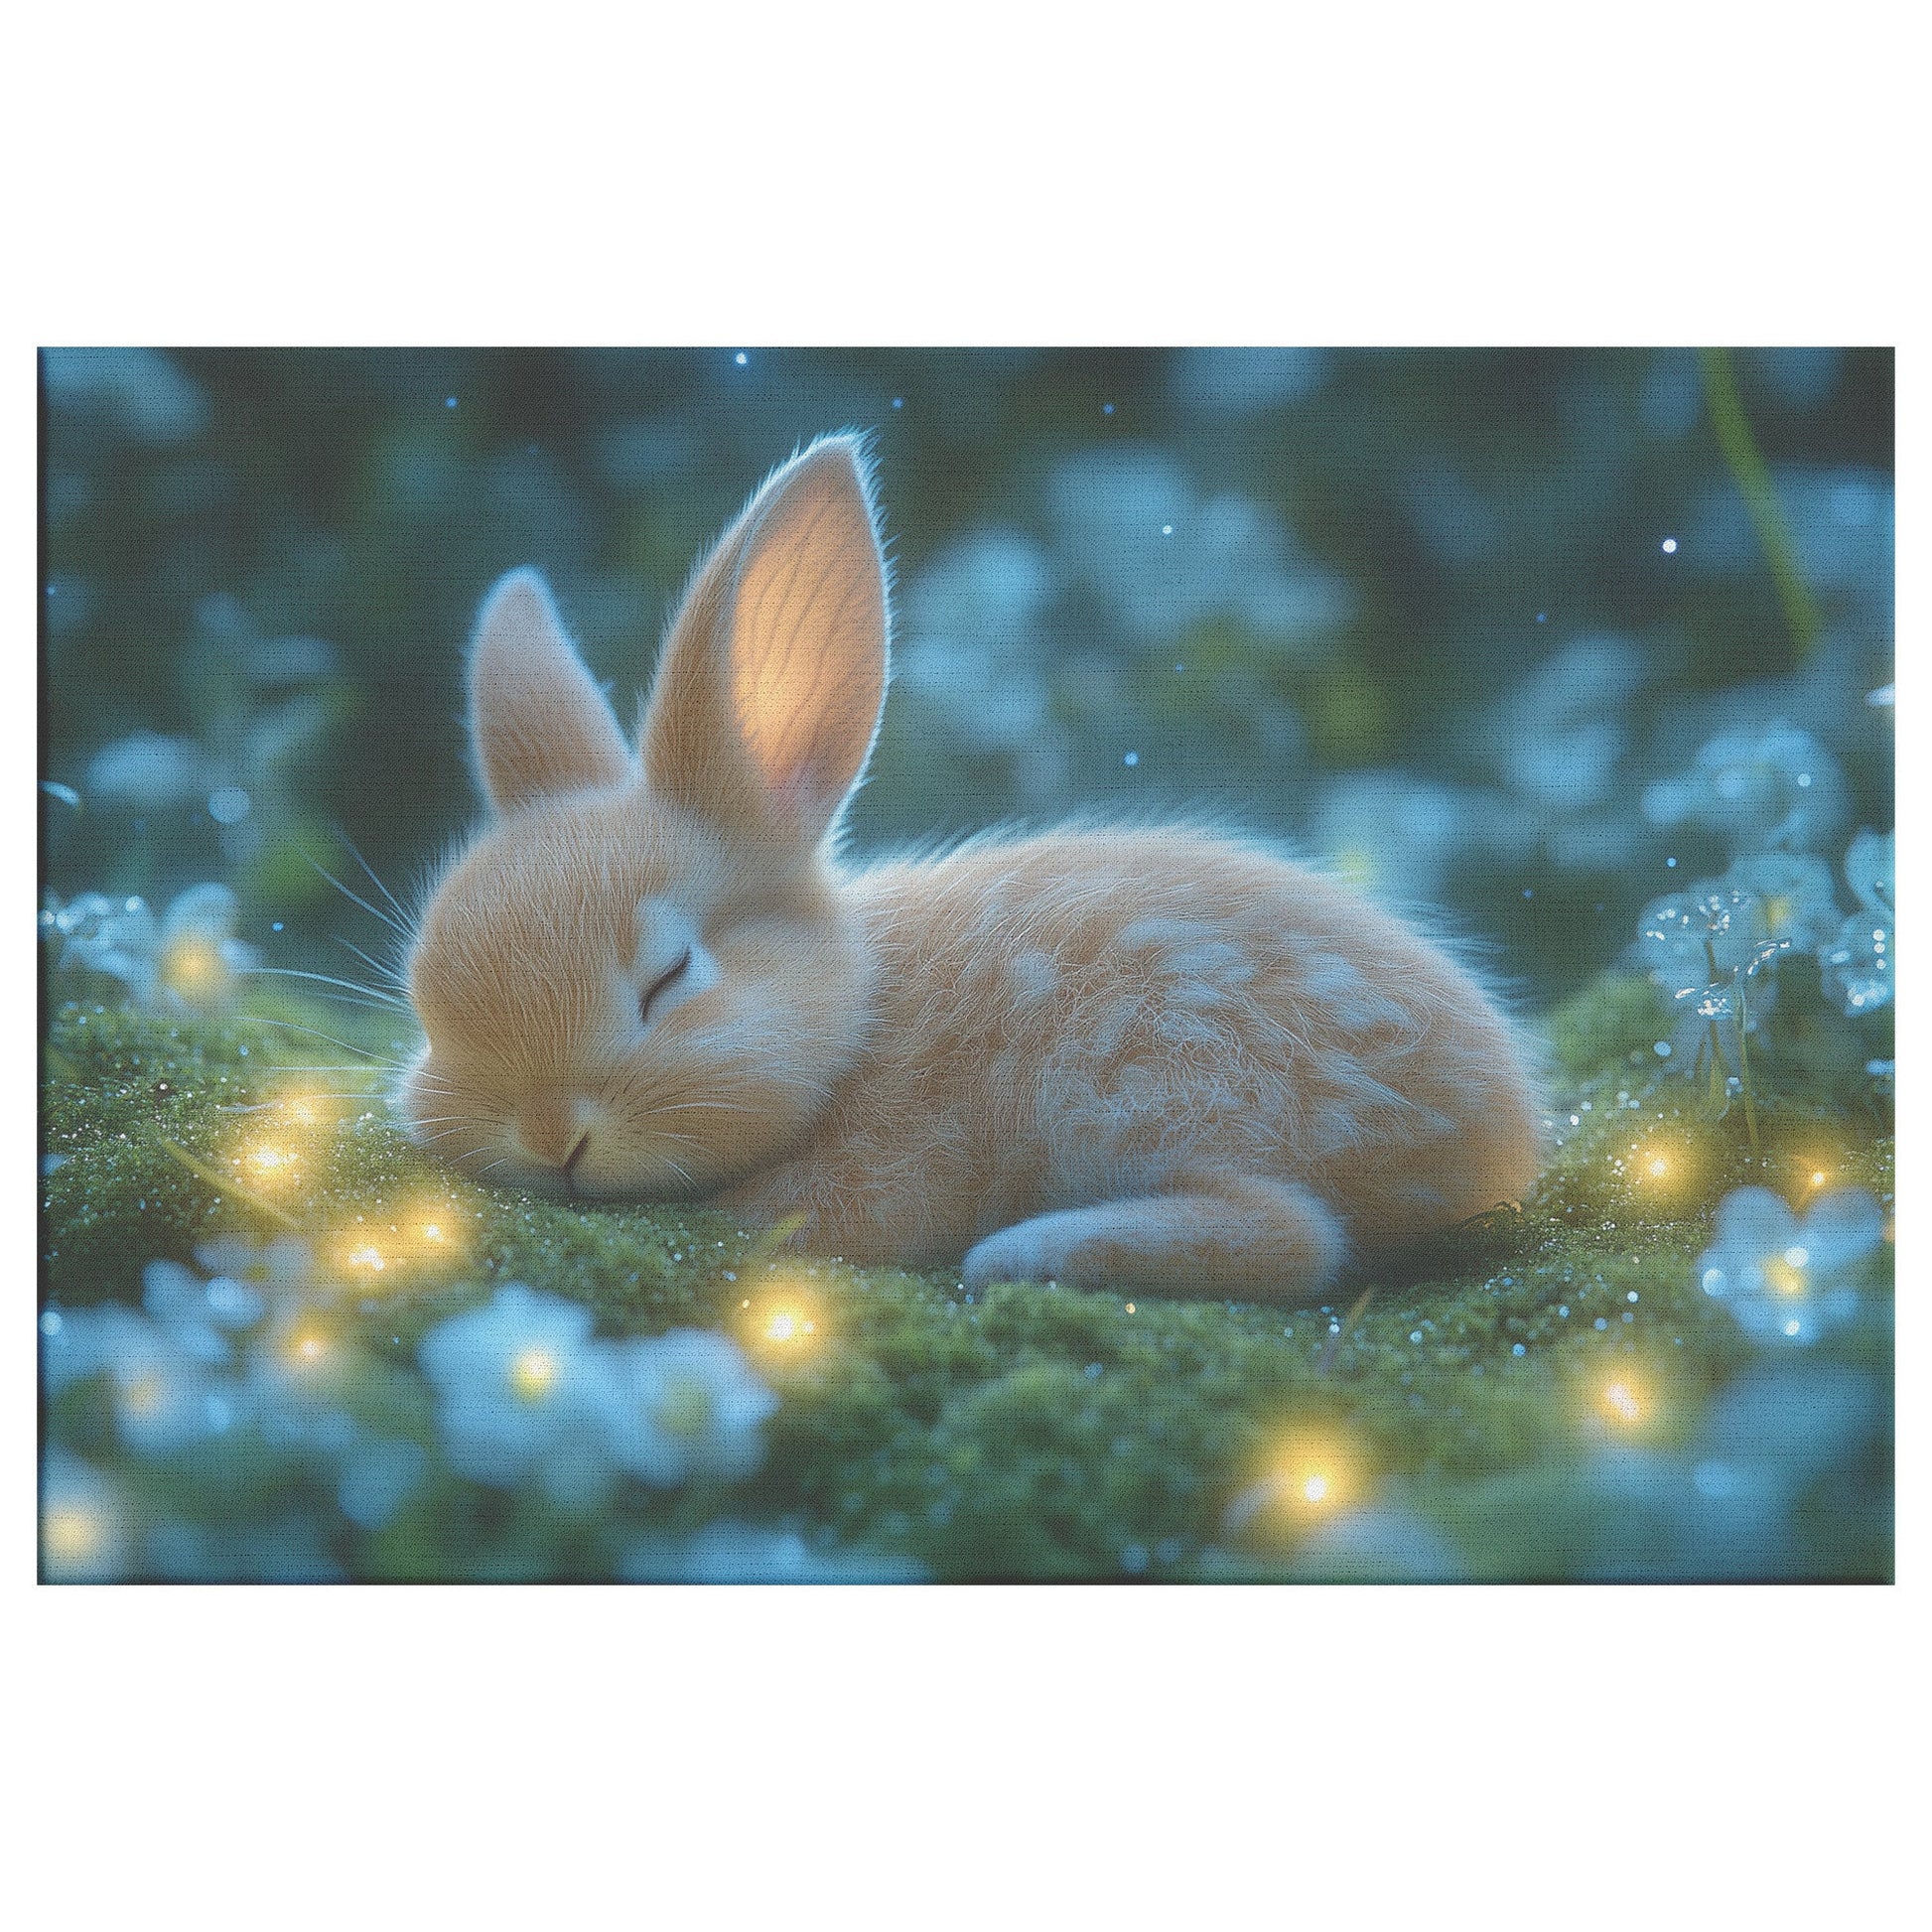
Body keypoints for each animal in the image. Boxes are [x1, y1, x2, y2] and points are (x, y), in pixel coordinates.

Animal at [398, 432, 1542, 1301]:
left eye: (668, 978)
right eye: (428, 1008)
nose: (550, 1138)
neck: (862, 1021)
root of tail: (1498, 1124)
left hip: (1160, 1079)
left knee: (1295, 1236)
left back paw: (1025, 1252)